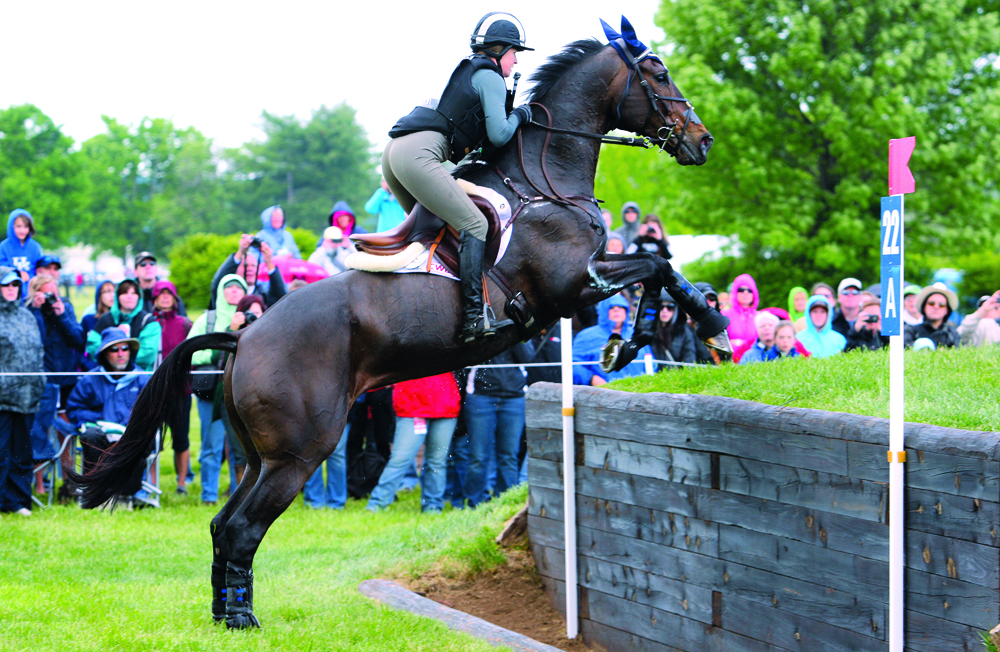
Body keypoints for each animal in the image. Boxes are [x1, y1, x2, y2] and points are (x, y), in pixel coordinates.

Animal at [72, 22, 728, 630]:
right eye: (658, 72)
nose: (703, 140)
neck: (545, 181)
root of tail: (244, 336)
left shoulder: (580, 288)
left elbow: (659, 270)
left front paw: (666, 331)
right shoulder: (570, 287)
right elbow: (654, 265)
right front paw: (692, 326)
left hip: (260, 456)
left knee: (222, 524)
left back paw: (224, 614)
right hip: (299, 454)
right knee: (242, 528)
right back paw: (243, 620)